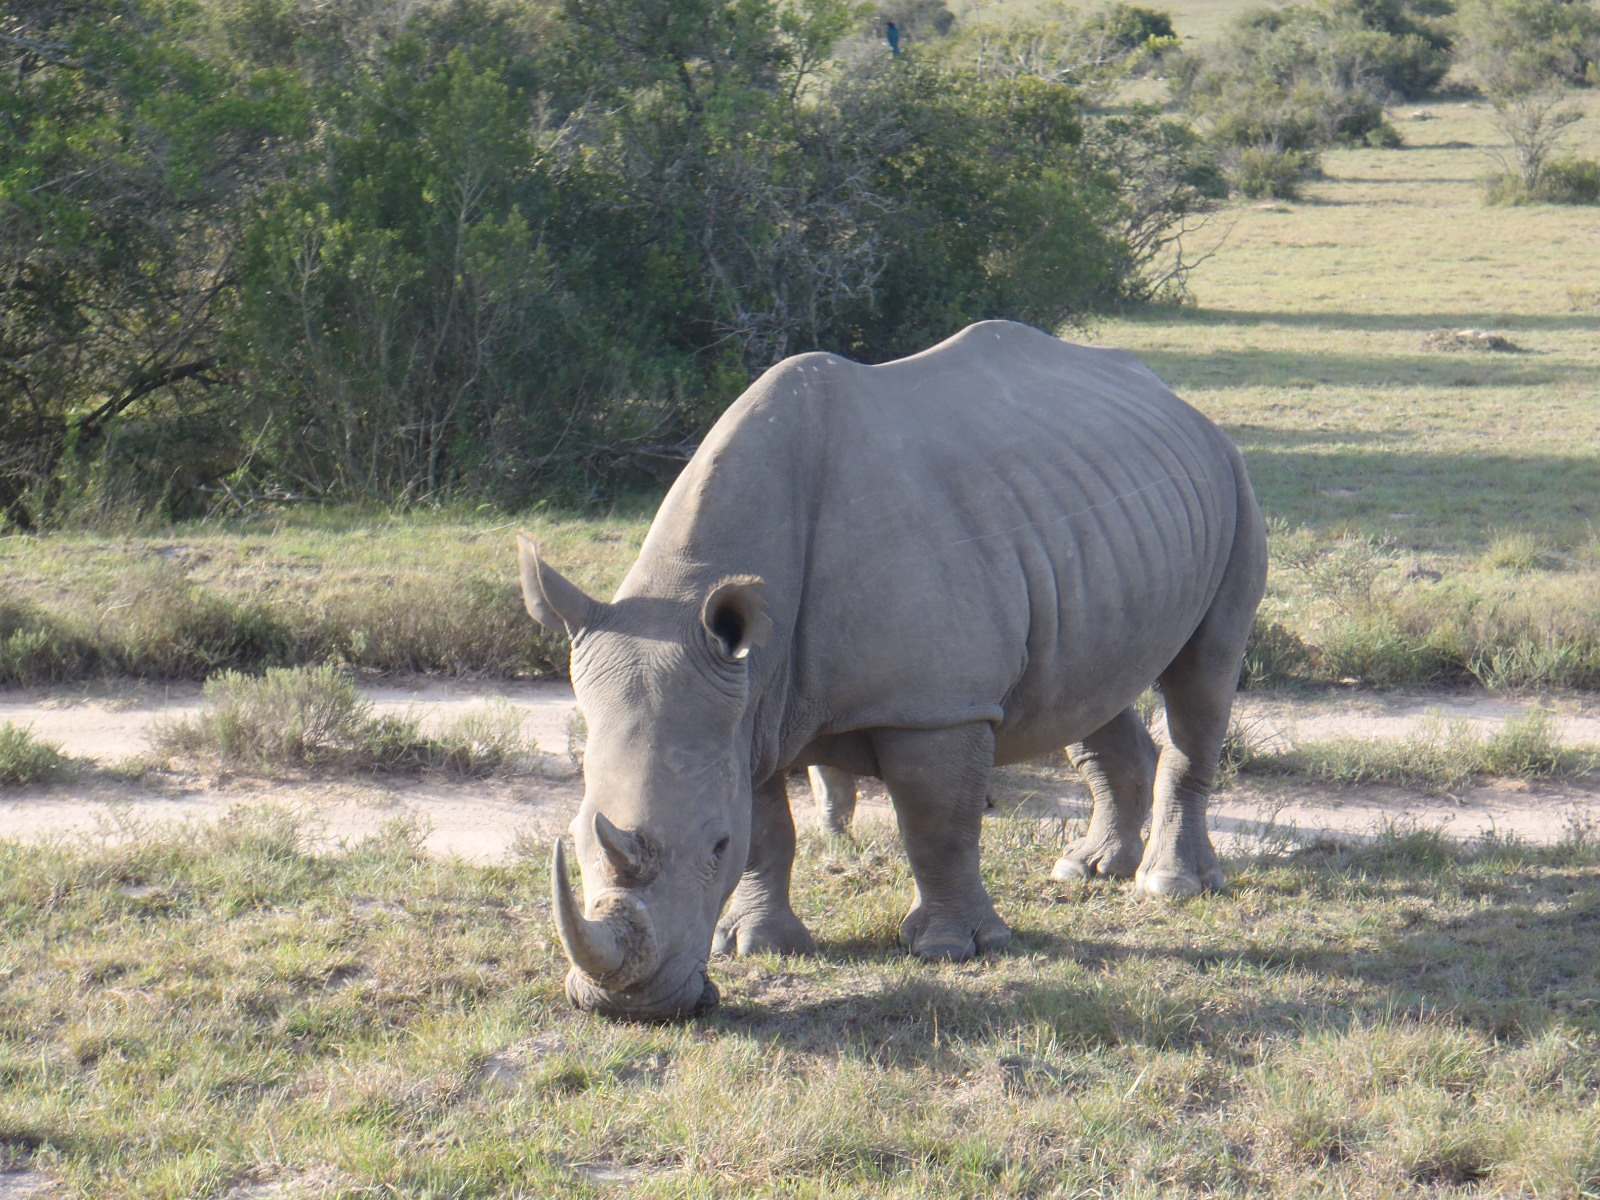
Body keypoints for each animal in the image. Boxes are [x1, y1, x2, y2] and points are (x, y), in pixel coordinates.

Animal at [519, 320, 1267, 1020]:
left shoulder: (934, 706)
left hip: (1233, 484)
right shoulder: (743, 706)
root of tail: (1178, 404)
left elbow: (937, 824)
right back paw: (1087, 872)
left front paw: (952, 949)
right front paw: (756, 945)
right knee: (1089, 688)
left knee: (1202, 673)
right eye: (577, 838)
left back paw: (1168, 886)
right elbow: (768, 830)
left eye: (713, 846)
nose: (628, 1007)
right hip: (1098, 519)